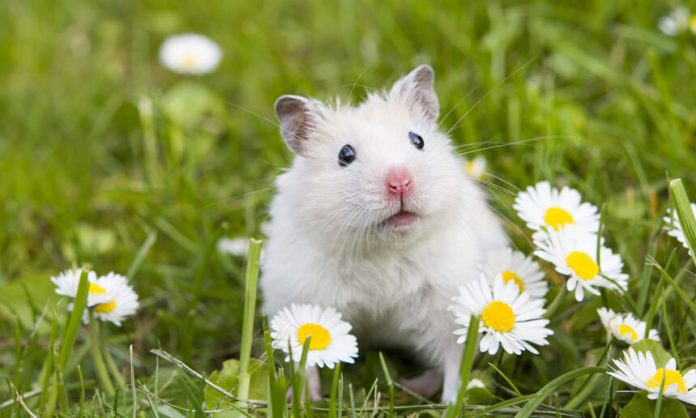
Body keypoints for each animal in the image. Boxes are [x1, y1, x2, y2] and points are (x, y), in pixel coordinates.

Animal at [260, 65, 508, 401]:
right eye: (345, 154)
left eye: (418, 140)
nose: (400, 182)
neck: (382, 249)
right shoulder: (300, 299)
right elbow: (305, 359)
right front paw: (304, 399)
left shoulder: (448, 307)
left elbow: (455, 362)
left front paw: (451, 403)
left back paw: (410, 386)